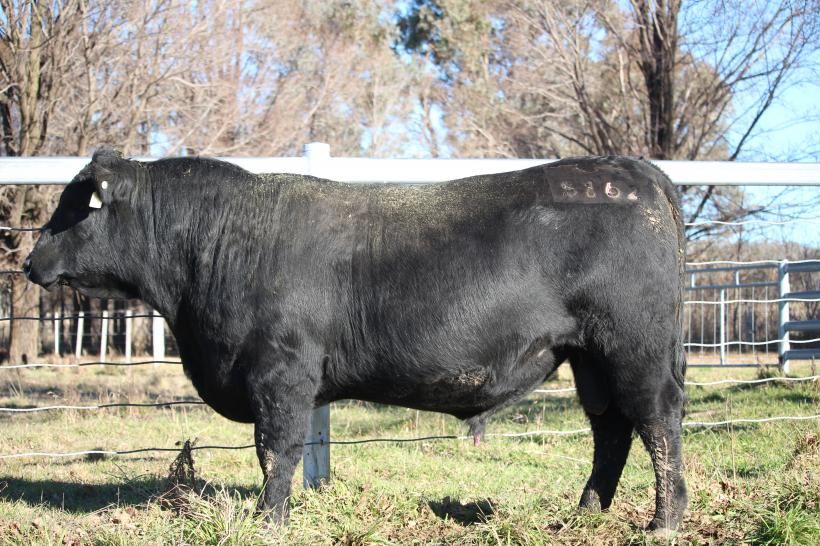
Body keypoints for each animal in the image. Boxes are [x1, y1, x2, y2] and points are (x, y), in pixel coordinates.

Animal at [24, 148, 688, 533]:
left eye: (76, 206)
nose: (30, 260)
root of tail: (632, 171)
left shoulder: (282, 376)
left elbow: (276, 452)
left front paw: (269, 522)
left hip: (634, 346)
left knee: (656, 419)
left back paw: (664, 520)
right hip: (589, 357)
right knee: (611, 426)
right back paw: (586, 512)